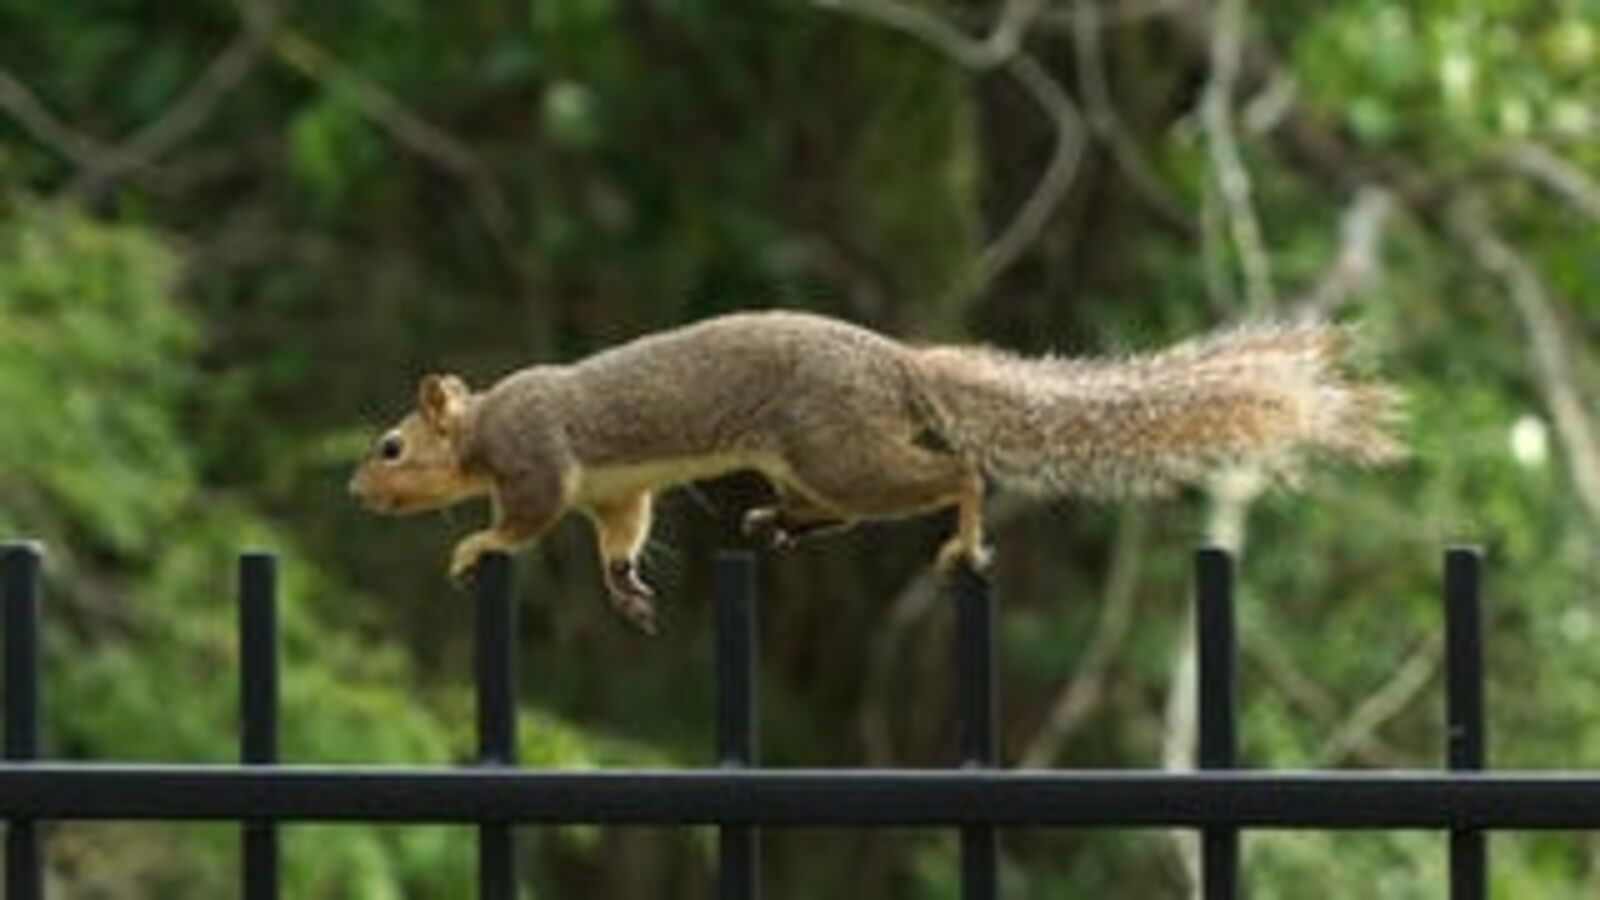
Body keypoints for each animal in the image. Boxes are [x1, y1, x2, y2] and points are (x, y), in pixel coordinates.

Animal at [348, 310, 1403, 633]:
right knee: (837, 514)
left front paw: (475, 545)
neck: (482, 422)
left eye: (391, 447)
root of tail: (900, 363)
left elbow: (521, 519)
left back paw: (963, 540)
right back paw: (774, 526)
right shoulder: (617, 490)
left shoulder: (536, 462)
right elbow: (621, 533)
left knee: (957, 474)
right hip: (816, 465)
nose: (355, 492)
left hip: (839, 449)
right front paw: (626, 586)